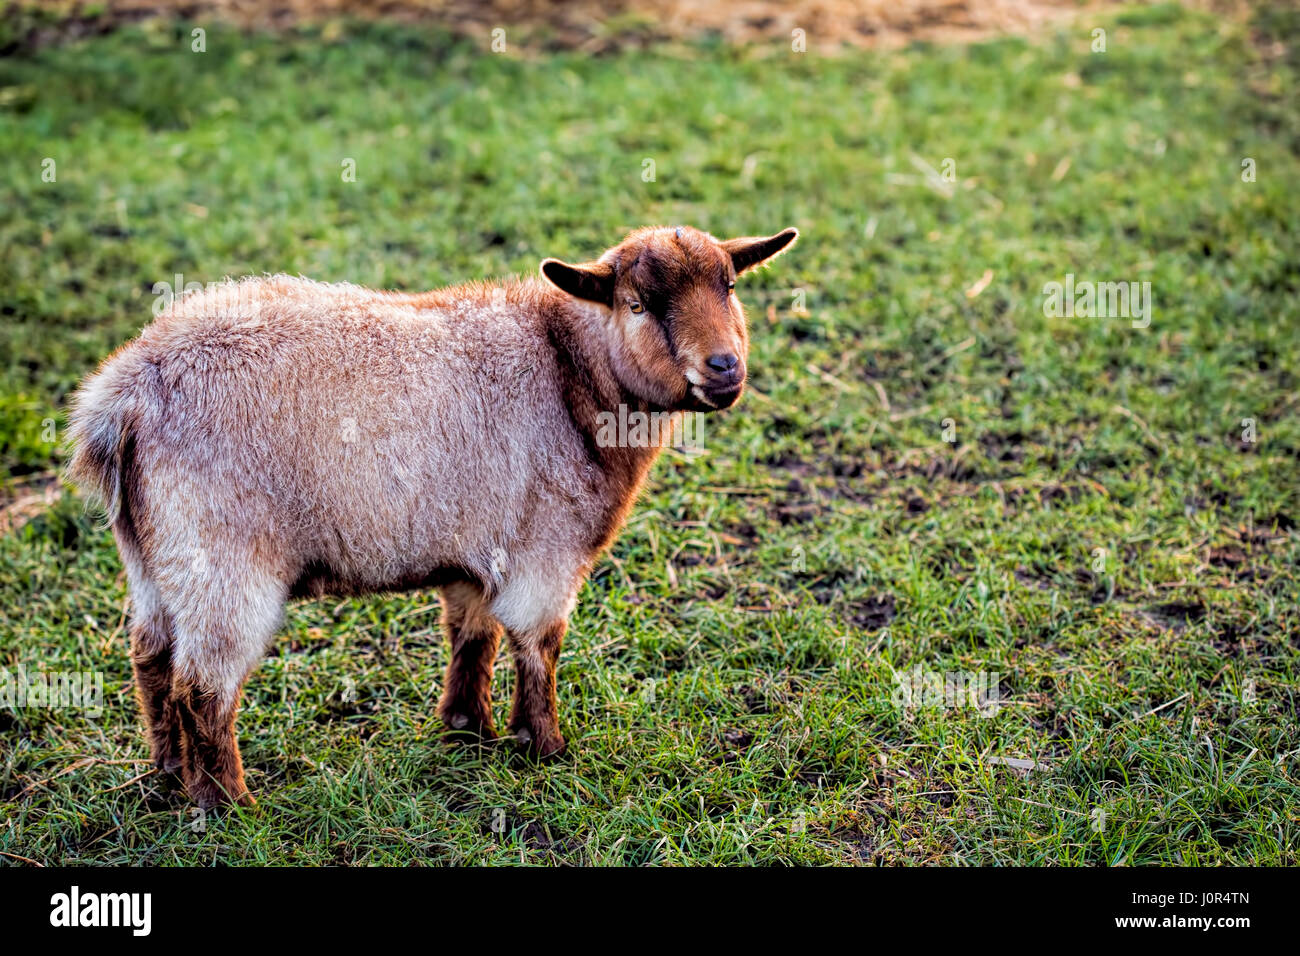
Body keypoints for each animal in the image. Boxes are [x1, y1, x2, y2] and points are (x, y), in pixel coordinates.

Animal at [66, 225, 798, 807]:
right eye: (638, 304)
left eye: (731, 286)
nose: (724, 367)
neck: (570, 371)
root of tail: (125, 392)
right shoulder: (545, 551)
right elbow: (539, 647)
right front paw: (546, 747)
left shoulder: (476, 549)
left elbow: (473, 637)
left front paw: (466, 729)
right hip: (221, 560)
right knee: (202, 688)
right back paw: (228, 802)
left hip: (155, 556)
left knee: (151, 658)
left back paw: (169, 771)